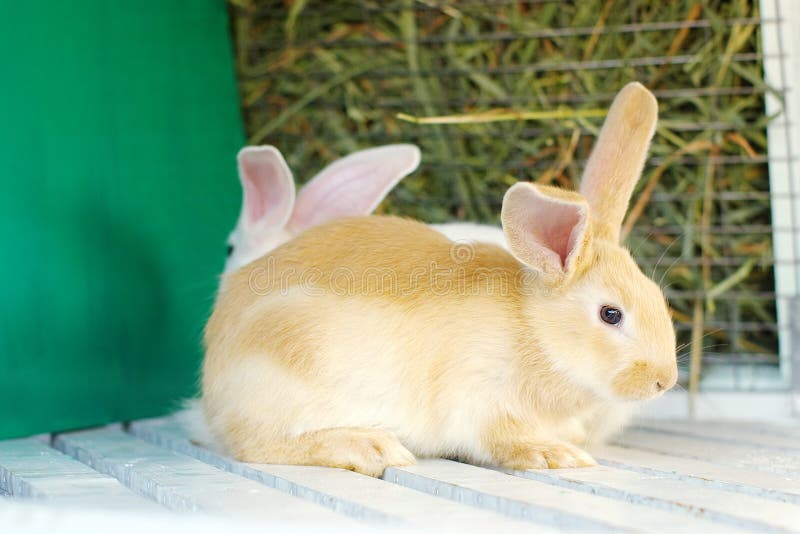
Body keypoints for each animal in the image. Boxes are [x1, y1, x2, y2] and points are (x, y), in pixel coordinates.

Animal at [201, 82, 675, 476]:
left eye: (658, 296)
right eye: (610, 314)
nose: (664, 382)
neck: (536, 333)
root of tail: (213, 380)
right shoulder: (483, 401)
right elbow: (505, 441)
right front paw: (557, 455)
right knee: (258, 445)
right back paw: (367, 446)